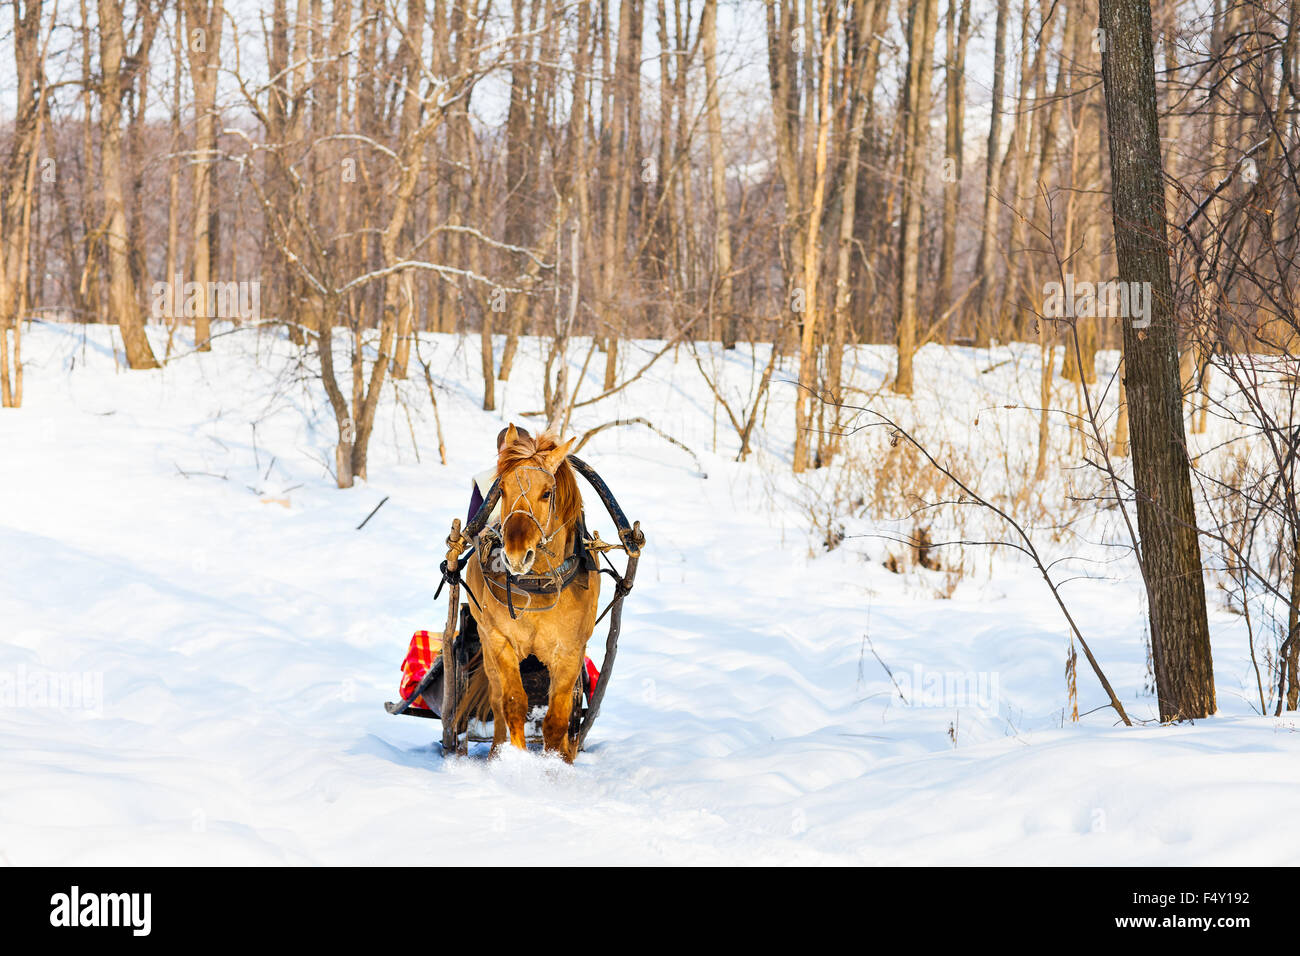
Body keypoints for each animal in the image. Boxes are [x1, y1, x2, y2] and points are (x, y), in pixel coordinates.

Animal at [461, 425, 599, 762]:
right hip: (485, 642)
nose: (515, 555)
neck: (538, 584)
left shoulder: (569, 651)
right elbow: (512, 703)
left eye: (547, 493)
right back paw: (497, 752)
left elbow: (557, 719)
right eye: (501, 490)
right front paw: (516, 762)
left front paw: (555, 766)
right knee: (496, 698)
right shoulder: (500, 641)